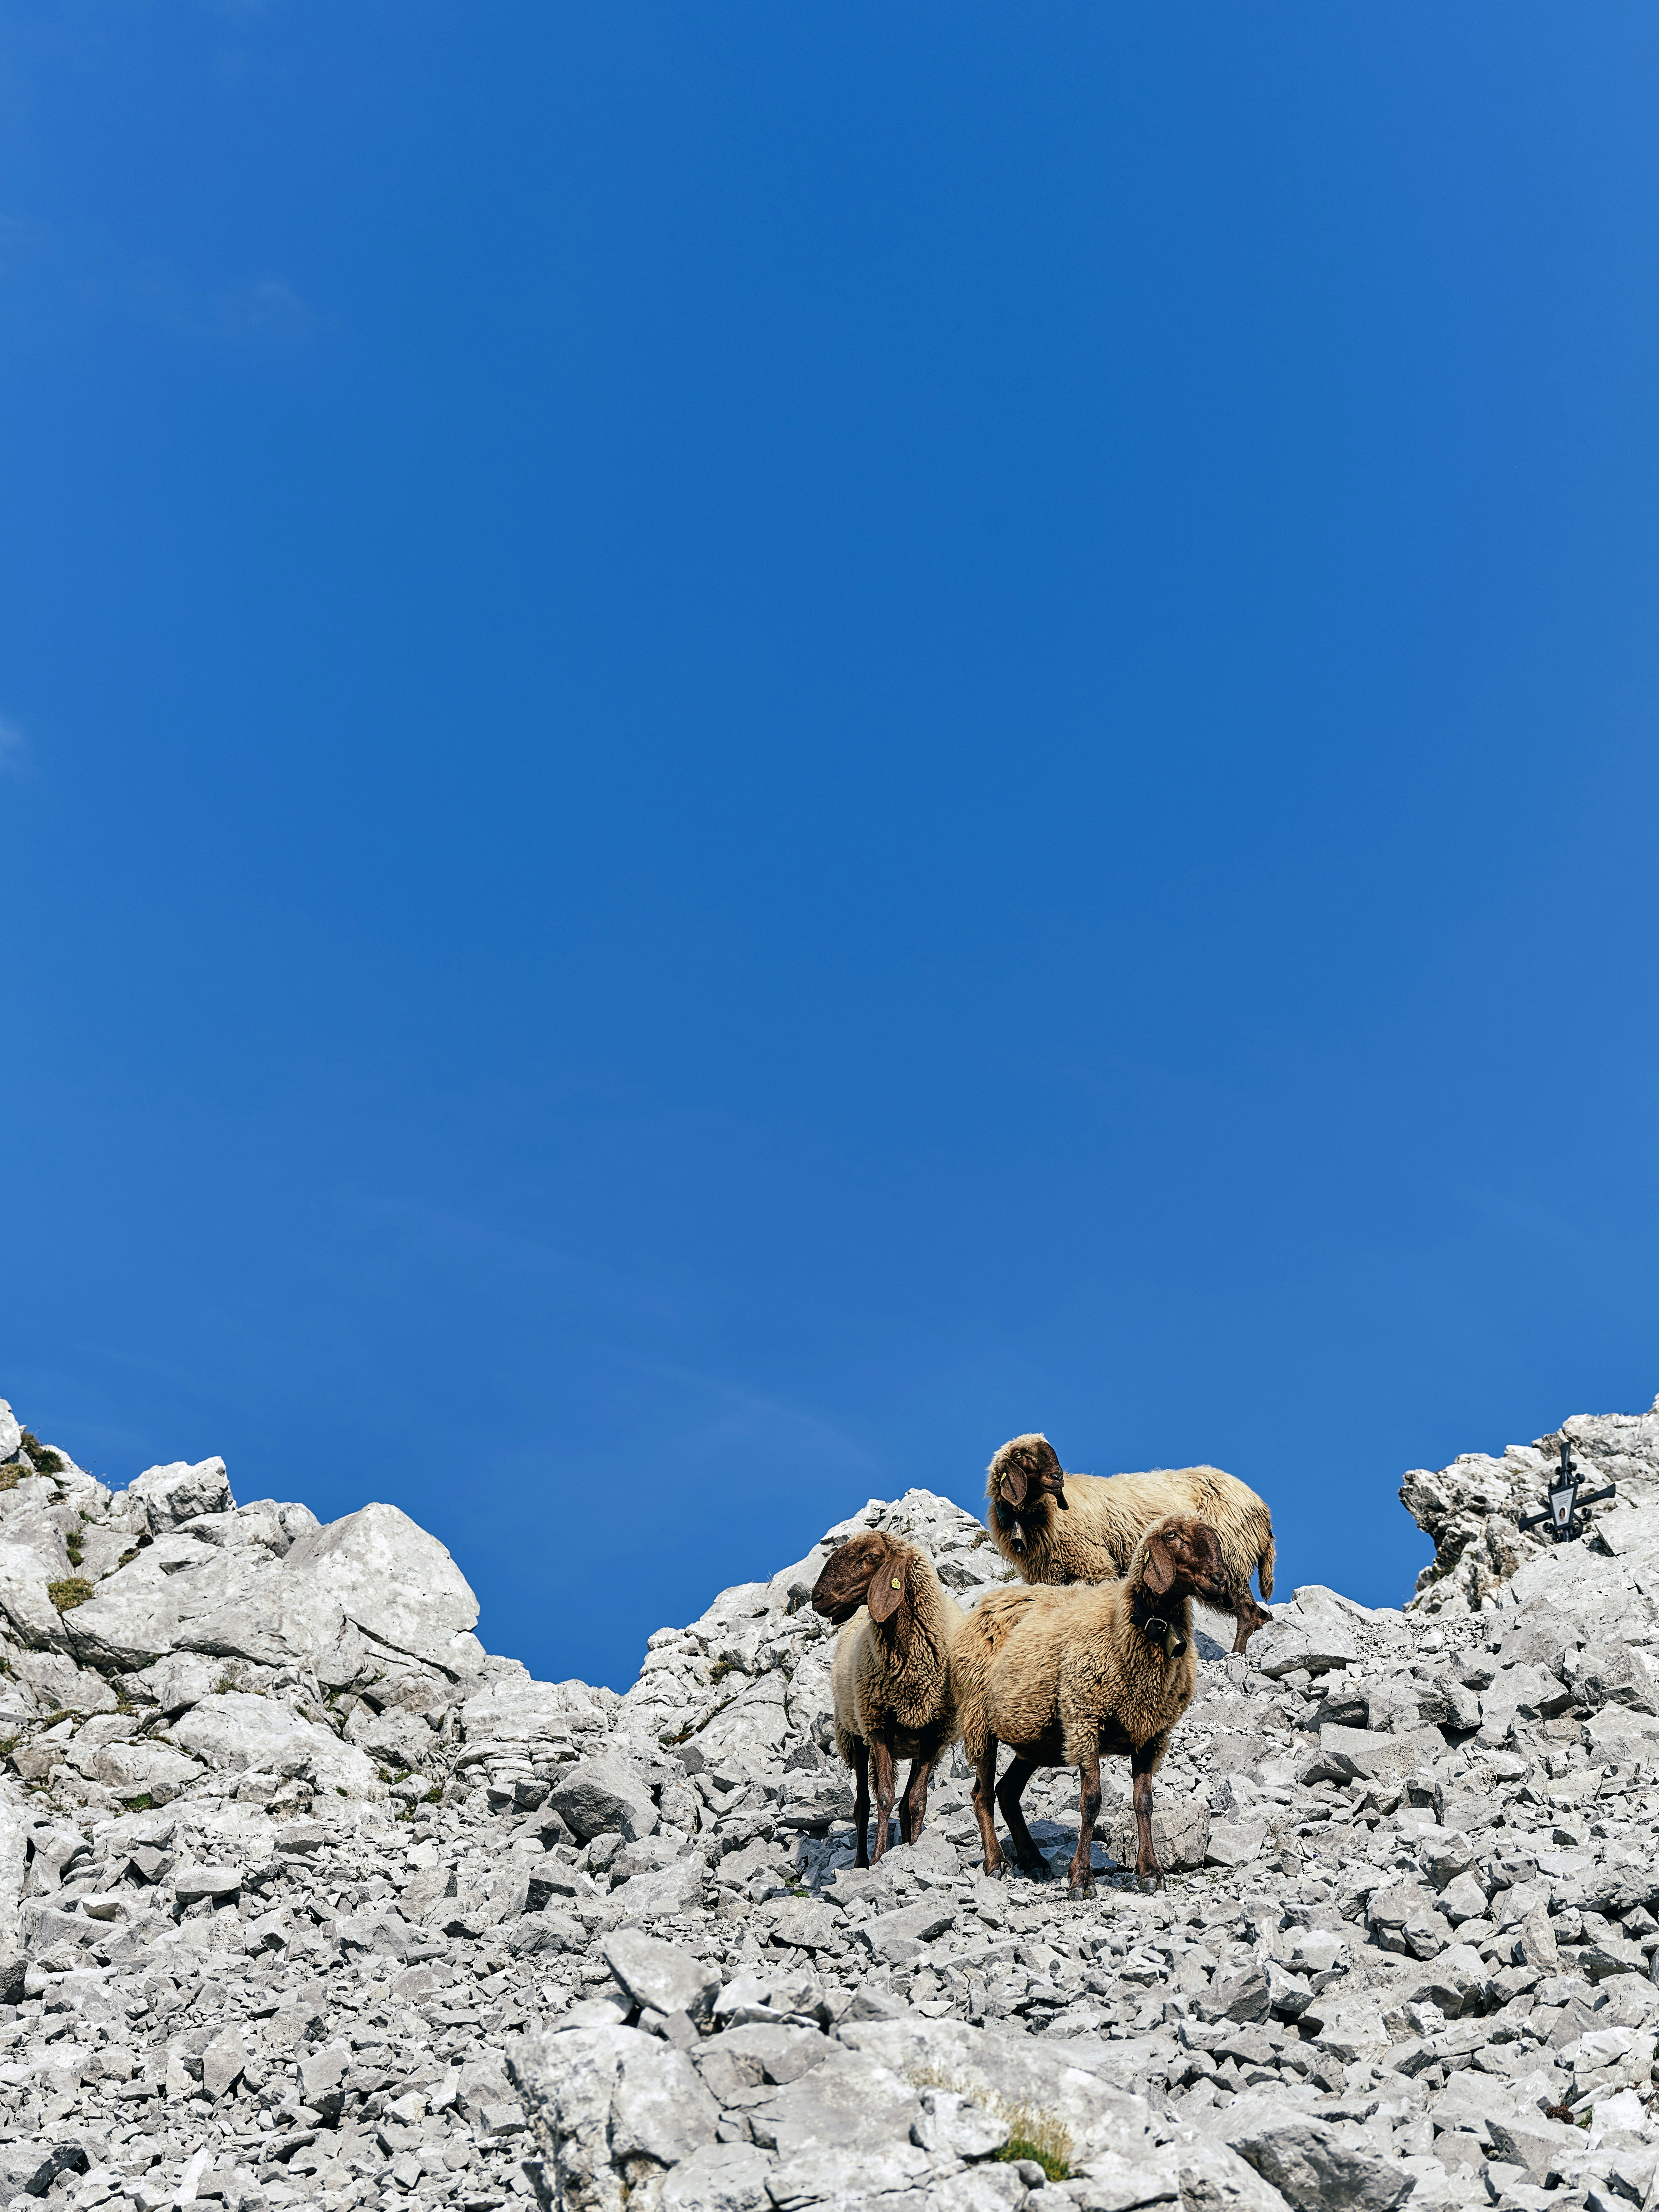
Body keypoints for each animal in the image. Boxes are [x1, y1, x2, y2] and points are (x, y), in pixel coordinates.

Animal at [810, 1530, 965, 1868]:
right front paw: (879, 1857)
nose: (816, 1597)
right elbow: (883, 1797)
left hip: (919, 1746)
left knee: (906, 1801)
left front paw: (916, 1848)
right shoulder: (879, 1725)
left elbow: (917, 1800)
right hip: (853, 1735)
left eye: (870, 1557)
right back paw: (860, 1862)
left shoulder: (935, 1730)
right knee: (861, 1805)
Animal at [953, 1513, 1232, 1894]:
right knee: (982, 1794)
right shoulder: (1085, 1720)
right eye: (1173, 1536)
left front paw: (1150, 1872)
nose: (1219, 1581)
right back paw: (997, 1862)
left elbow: (1144, 1803)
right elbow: (1091, 1802)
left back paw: (1034, 1861)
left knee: (1007, 1791)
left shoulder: (1151, 1735)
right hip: (978, 1719)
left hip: (1036, 1734)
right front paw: (1081, 1879)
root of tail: (985, 1603)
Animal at [984, 1434, 1276, 1653]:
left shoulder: (1092, 1565)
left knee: (1248, 1613)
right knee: (1260, 1615)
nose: (1058, 1477)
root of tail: (1261, 1507)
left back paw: (1236, 1655)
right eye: (1020, 1455)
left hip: (1228, 1563)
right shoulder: (1050, 1574)